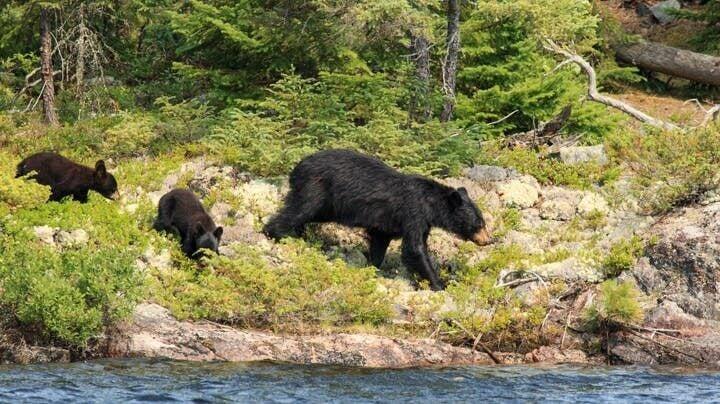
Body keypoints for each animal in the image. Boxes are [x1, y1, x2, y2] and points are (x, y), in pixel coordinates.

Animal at [263, 149, 492, 291]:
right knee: (299, 209)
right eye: (479, 223)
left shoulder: (400, 223)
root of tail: (296, 168)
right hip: (317, 188)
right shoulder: (413, 213)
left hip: (328, 205)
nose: (489, 240)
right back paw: (276, 232)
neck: (430, 205)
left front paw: (372, 265)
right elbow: (414, 249)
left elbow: (380, 241)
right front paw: (439, 283)